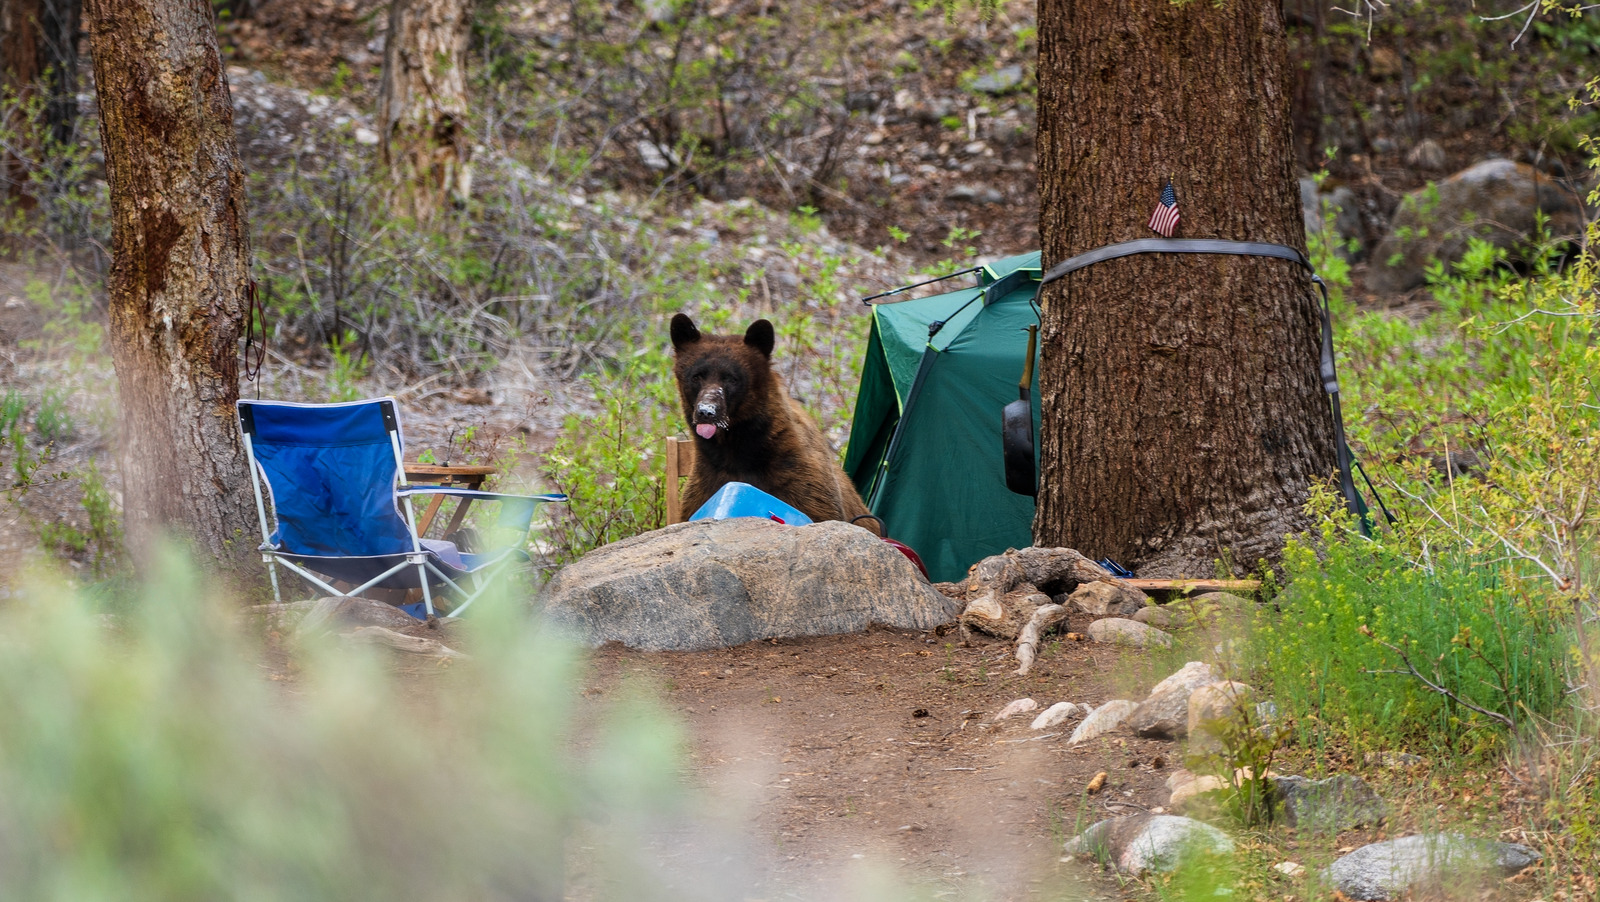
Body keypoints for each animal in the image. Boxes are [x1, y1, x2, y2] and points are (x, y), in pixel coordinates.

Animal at [670, 313, 881, 534]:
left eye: (731, 378)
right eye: (696, 376)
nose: (706, 412)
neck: (737, 449)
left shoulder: (802, 481)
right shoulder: (706, 481)